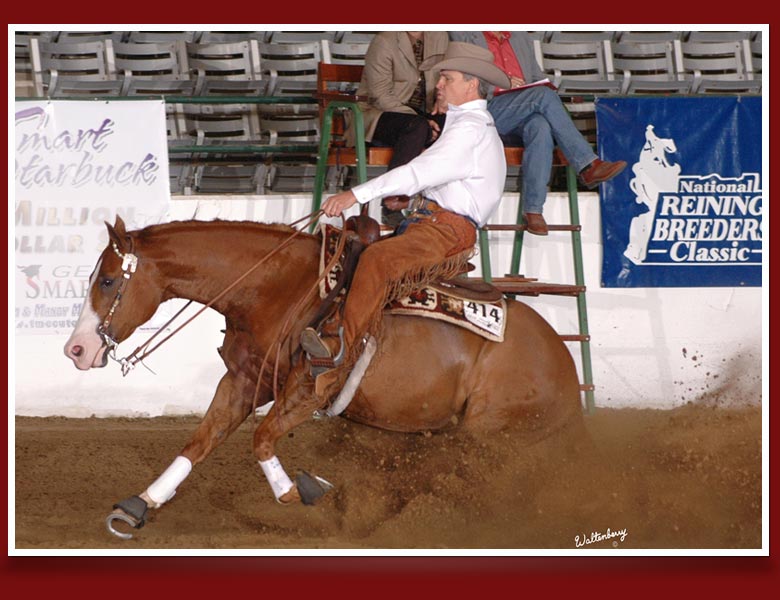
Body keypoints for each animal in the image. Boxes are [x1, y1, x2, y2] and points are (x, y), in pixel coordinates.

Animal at [64, 216, 586, 539]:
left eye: (108, 280)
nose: (77, 349)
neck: (278, 287)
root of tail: (565, 367)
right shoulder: (243, 382)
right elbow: (201, 441)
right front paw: (138, 506)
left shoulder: (310, 389)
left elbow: (262, 439)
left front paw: (301, 489)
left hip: (487, 434)